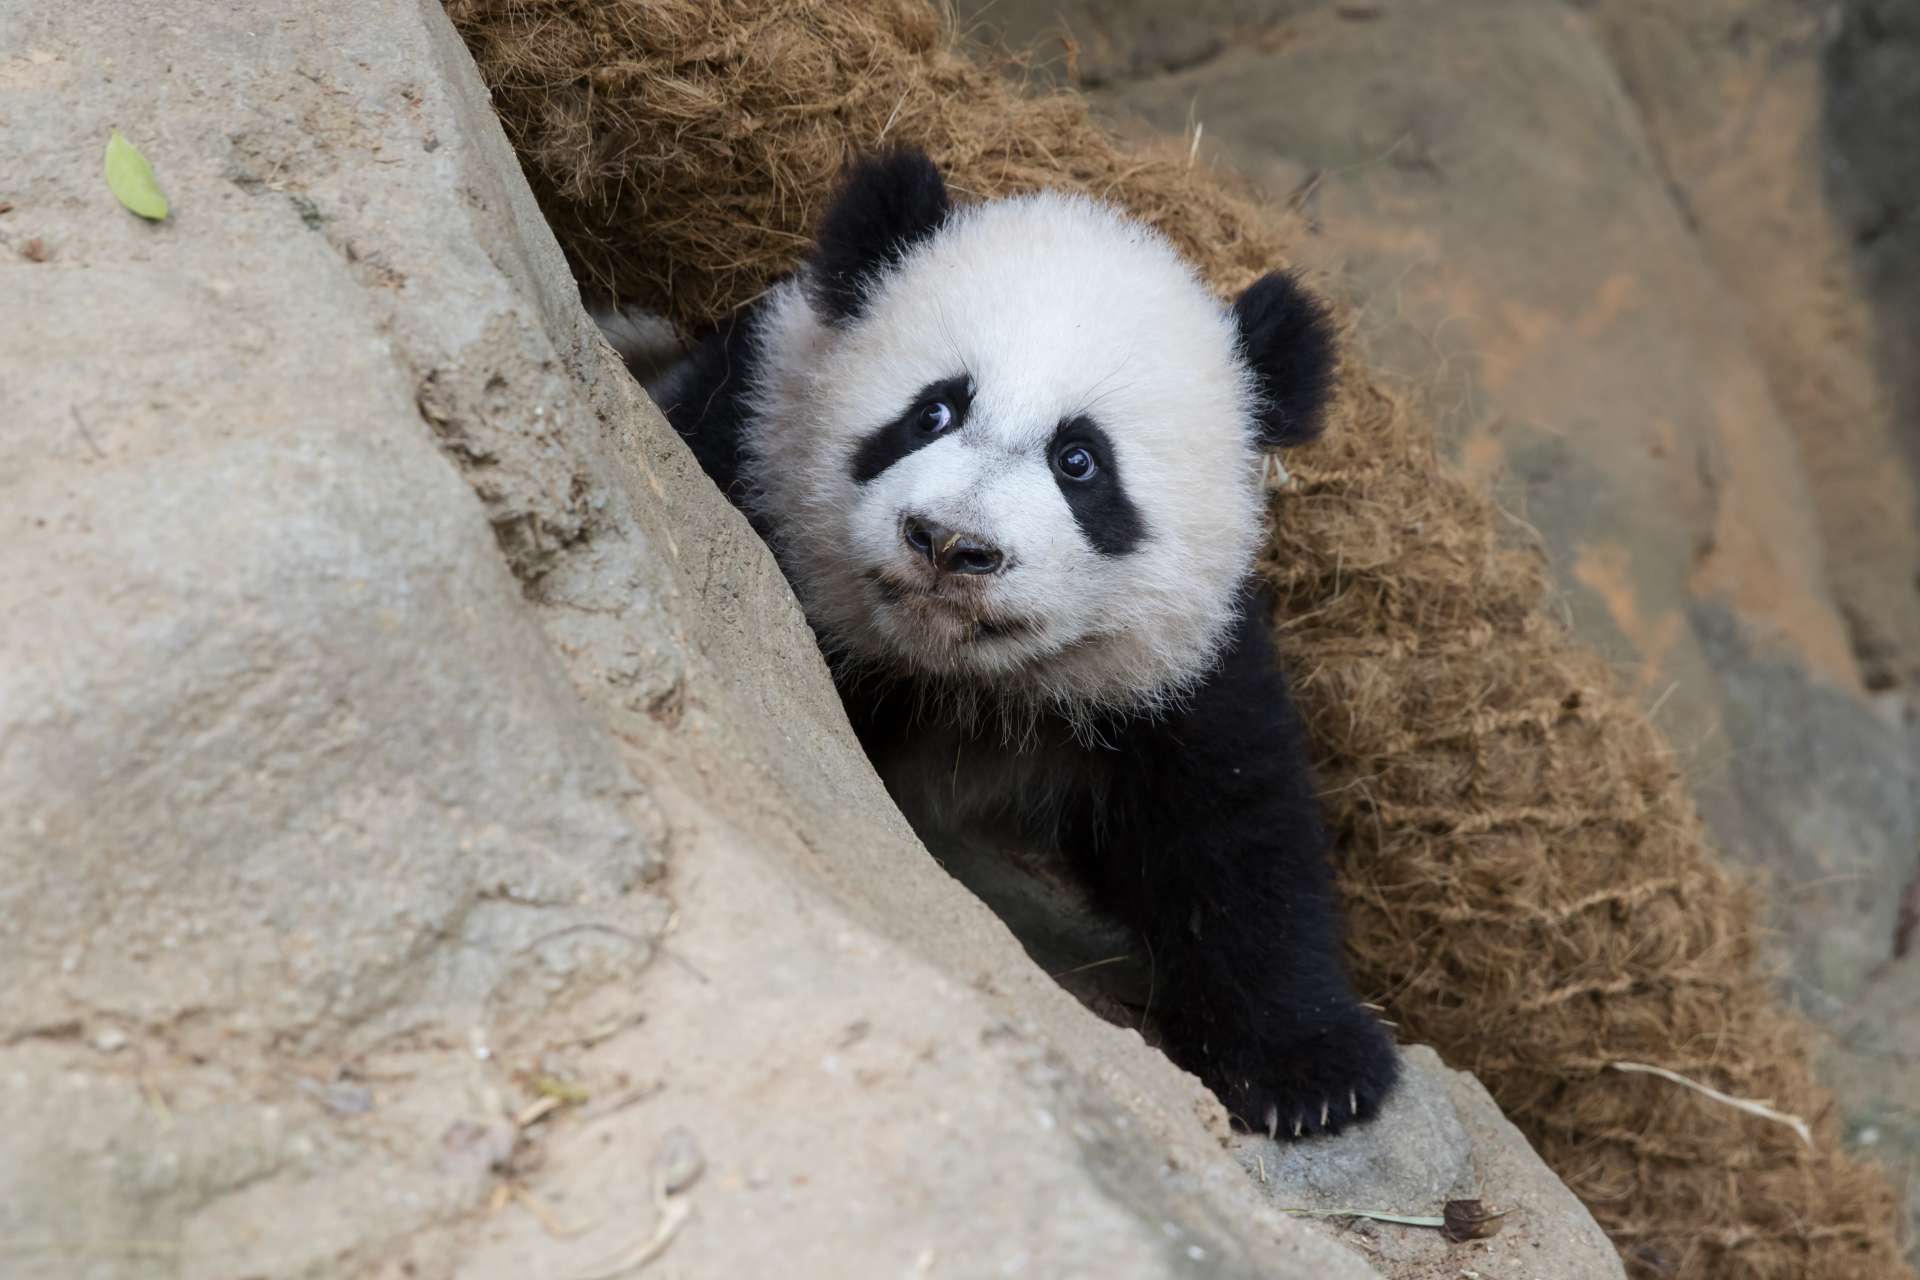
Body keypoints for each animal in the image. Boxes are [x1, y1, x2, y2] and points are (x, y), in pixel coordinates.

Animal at [625, 148, 1399, 1140]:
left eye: (1080, 462)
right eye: (933, 413)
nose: (951, 544)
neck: (957, 677)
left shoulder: (1175, 665)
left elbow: (1232, 831)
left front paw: (1314, 1072)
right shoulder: (751, 443)